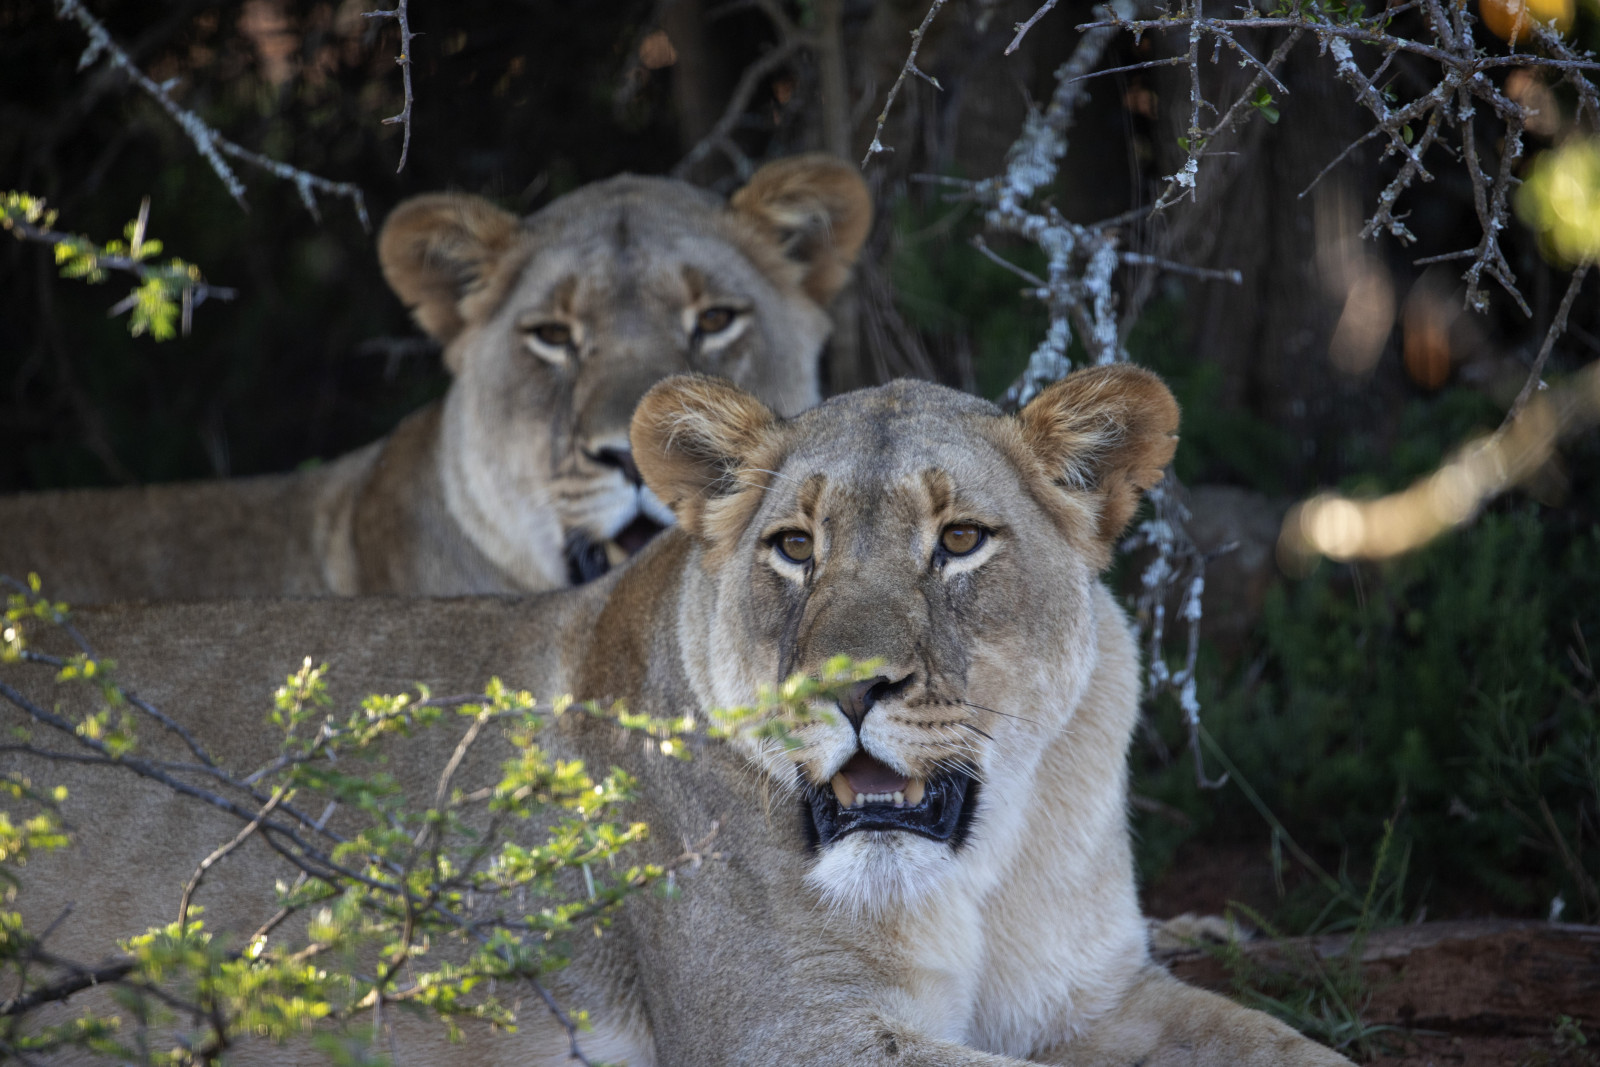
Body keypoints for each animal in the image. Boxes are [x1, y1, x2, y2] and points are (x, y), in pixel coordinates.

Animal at [1, 367, 1351, 1066]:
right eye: (794, 547)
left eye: (960, 539)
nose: (847, 687)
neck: (980, 869)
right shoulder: (786, 1031)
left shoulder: (1099, 996)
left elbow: (1295, 1049)